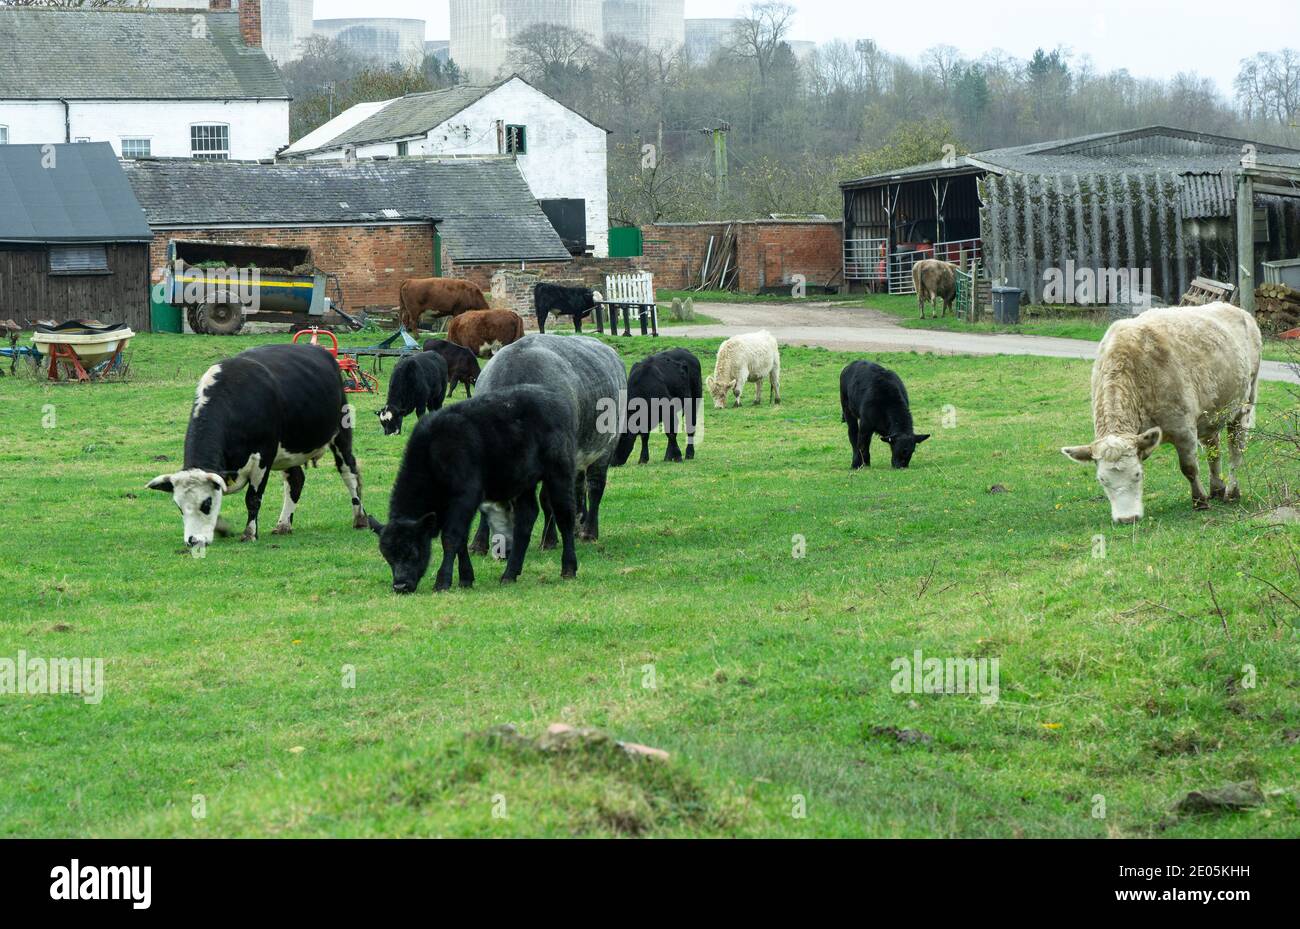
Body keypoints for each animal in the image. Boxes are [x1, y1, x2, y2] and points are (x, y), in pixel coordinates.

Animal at [147, 343, 367, 550]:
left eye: (206, 503)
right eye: (179, 507)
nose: (193, 540)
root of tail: (319, 351)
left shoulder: (263, 458)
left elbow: (252, 498)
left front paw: (250, 533)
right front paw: (222, 528)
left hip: (341, 434)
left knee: (349, 473)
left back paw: (360, 518)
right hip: (288, 452)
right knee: (296, 480)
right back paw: (284, 525)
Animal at [370, 385, 580, 593]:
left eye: (413, 551)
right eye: (387, 556)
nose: (400, 585)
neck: (433, 452)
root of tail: (553, 398)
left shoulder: (465, 497)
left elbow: (451, 537)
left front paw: (443, 581)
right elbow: (461, 539)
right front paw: (466, 578)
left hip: (559, 474)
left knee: (565, 517)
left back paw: (568, 569)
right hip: (523, 483)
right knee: (525, 520)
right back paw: (509, 574)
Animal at [470, 333, 626, 553]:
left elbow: (547, 500)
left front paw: (549, 539)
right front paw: (478, 544)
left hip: (605, 448)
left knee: (595, 487)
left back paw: (589, 532)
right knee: (579, 487)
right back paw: (577, 527)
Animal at [1061, 302, 1262, 523]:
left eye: (1137, 475)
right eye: (1102, 480)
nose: (1127, 518)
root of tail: (1238, 310)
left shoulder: (1183, 429)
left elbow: (1189, 468)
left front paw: (1199, 502)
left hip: (1244, 403)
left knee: (1236, 450)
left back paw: (1232, 493)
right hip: (1211, 414)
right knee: (1213, 449)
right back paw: (1217, 489)